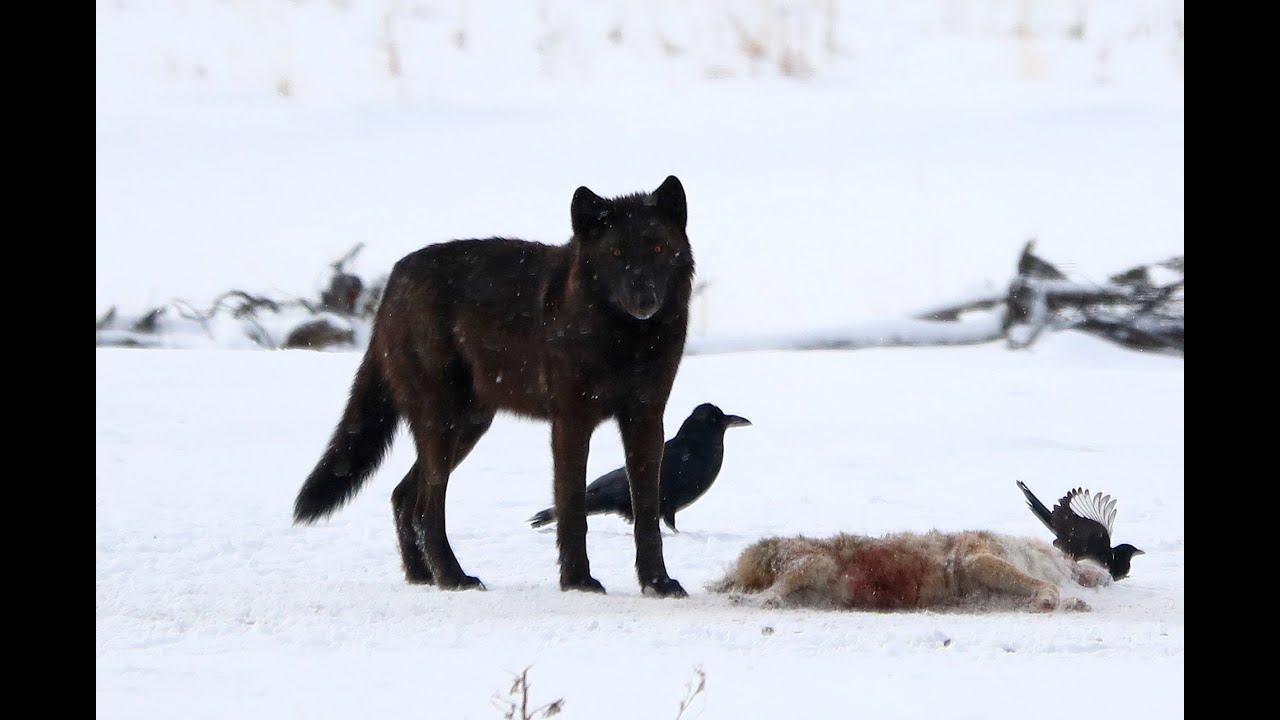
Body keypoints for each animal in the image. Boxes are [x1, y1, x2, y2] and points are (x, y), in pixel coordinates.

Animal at [293, 176, 695, 597]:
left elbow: (646, 514)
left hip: (469, 426)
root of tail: (393, 280)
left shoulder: (646, 419)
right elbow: (572, 507)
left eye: (657, 247)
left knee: (403, 496)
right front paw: (578, 581)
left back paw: (422, 576)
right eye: (615, 252)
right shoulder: (571, 421)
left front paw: (658, 582)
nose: (644, 298)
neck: (625, 341)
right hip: (442, 424)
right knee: (427, 507)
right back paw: (453, 577)